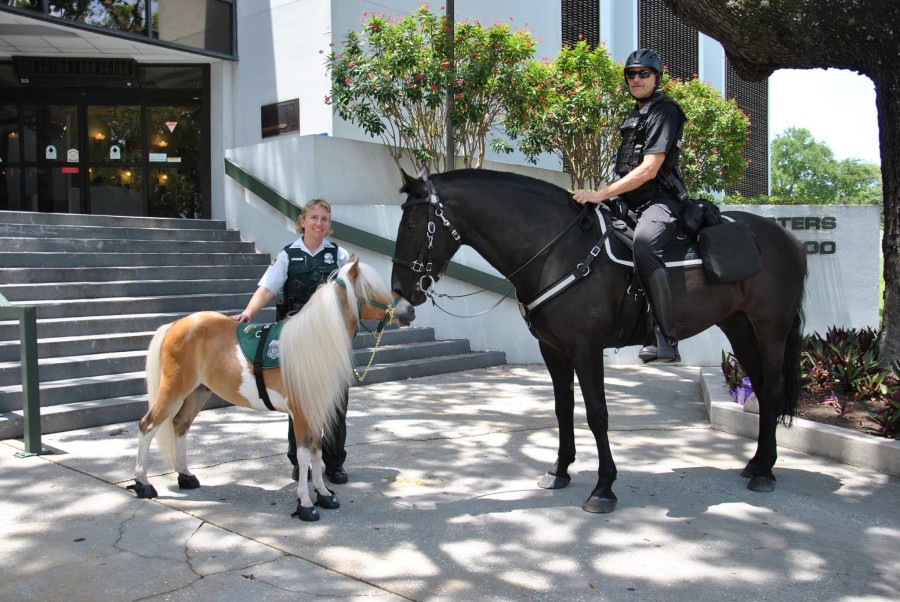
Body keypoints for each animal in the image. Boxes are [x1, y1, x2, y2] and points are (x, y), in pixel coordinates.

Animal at [128, 259, 410, 521]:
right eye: (373, 289)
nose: (409, 310)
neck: (315, 343)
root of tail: (175, 325)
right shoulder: (302, 413)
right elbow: (304, 457)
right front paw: (305, 504)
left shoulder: (315, 411)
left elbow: (317, 453)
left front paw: (324, 495)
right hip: (174, 390)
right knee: (147, 426)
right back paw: (143, 484)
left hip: (199, 392)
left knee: (180, 426)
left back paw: (186, 477)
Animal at [390, 168, 807, 514]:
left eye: (411, 224)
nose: (401, 291)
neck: (559, 251)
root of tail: (788, 237)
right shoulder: (553, 350)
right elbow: (562, 410)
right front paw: (559, 470)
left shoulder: (586, 348)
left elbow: (597, 414)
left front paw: (603, 488)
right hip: (739, 327)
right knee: (761, 387)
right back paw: (757, 463)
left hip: (770, 327)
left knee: (772, 389)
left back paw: (765, 473)